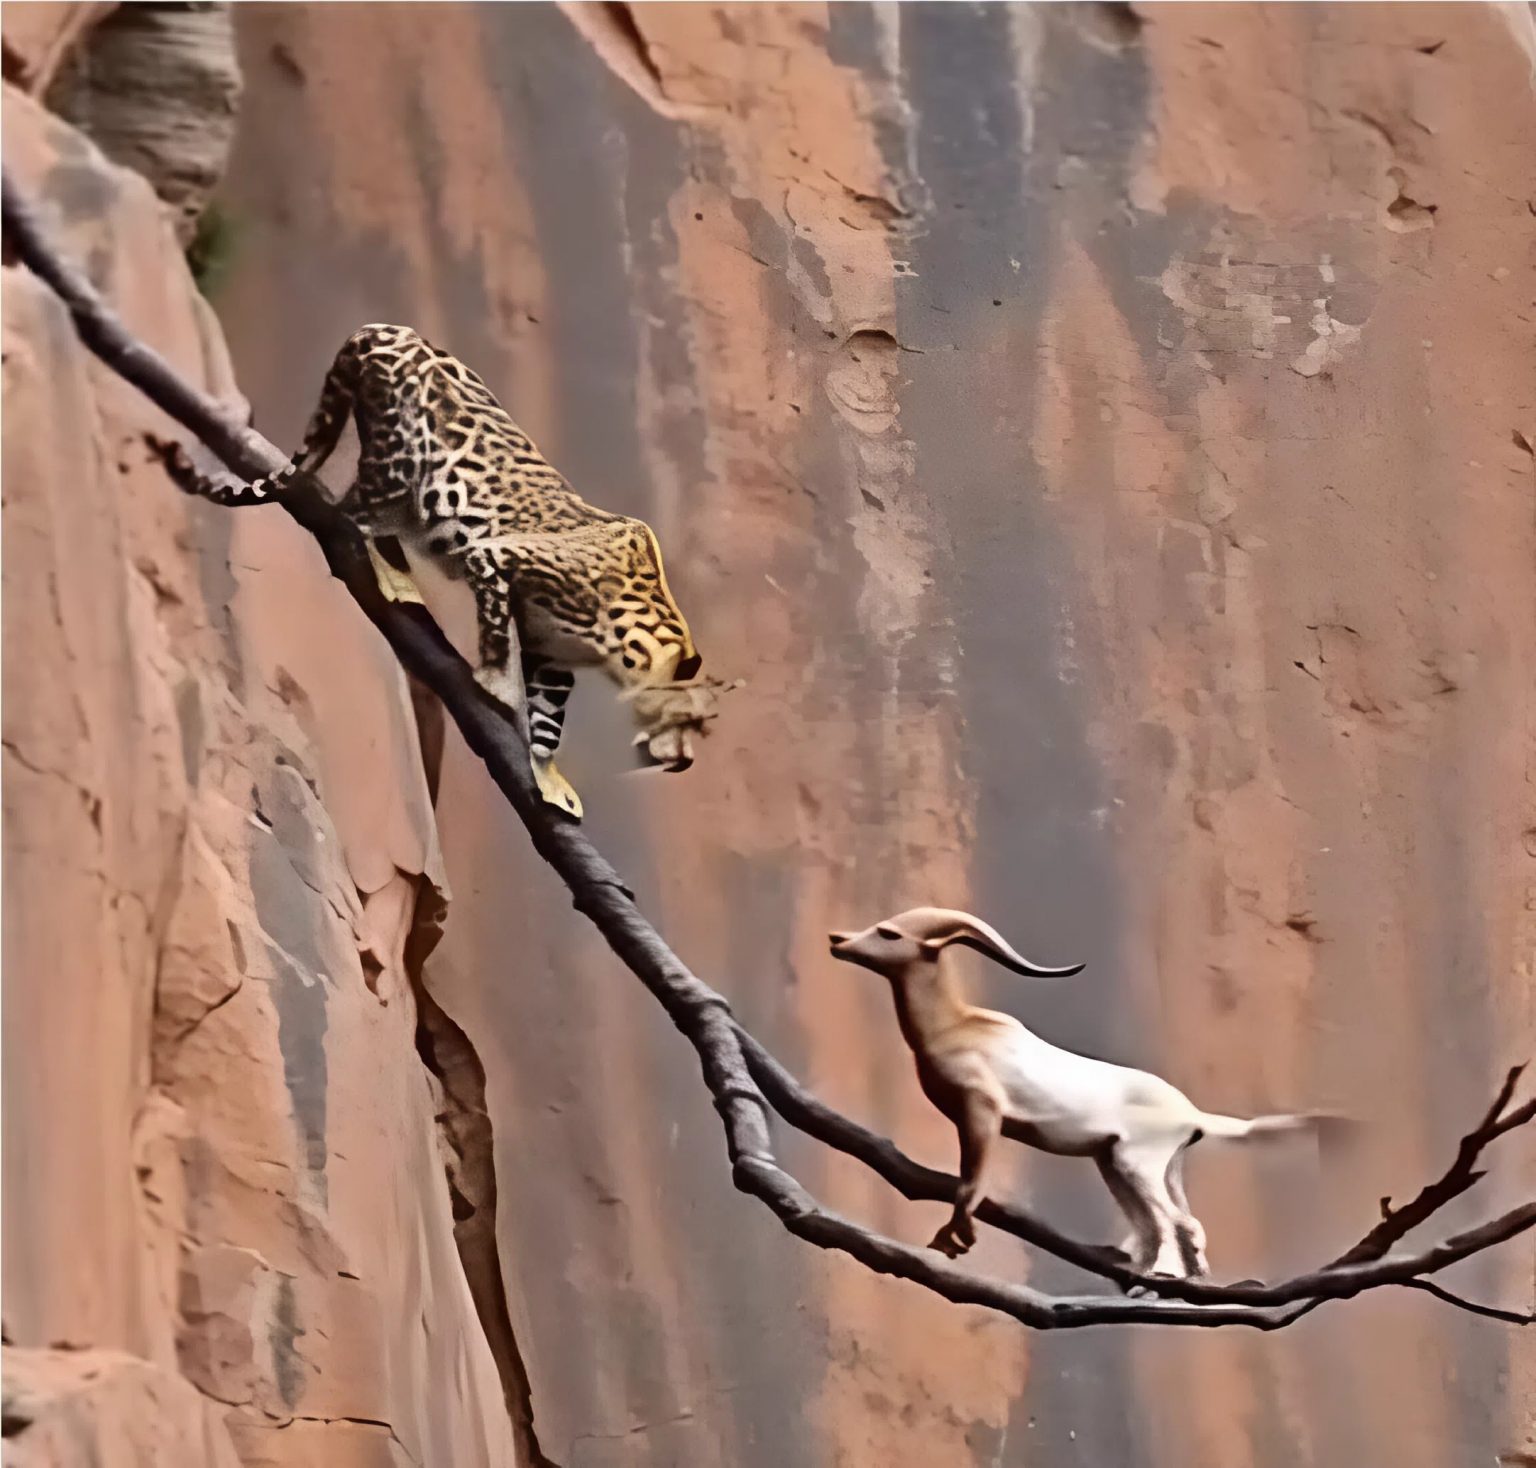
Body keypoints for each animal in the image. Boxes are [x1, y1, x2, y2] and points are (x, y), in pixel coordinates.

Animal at [829, 906, 1324, 1279]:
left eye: (888, 932)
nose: (837, 939)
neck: (956, 1028)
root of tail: (1194, 1116)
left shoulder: (982, 1112)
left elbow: (971, 1179)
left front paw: (956, 1238)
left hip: (1136, 1162)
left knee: (1177, 1221)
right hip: (1127, 1164)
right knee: (1167, 1223)